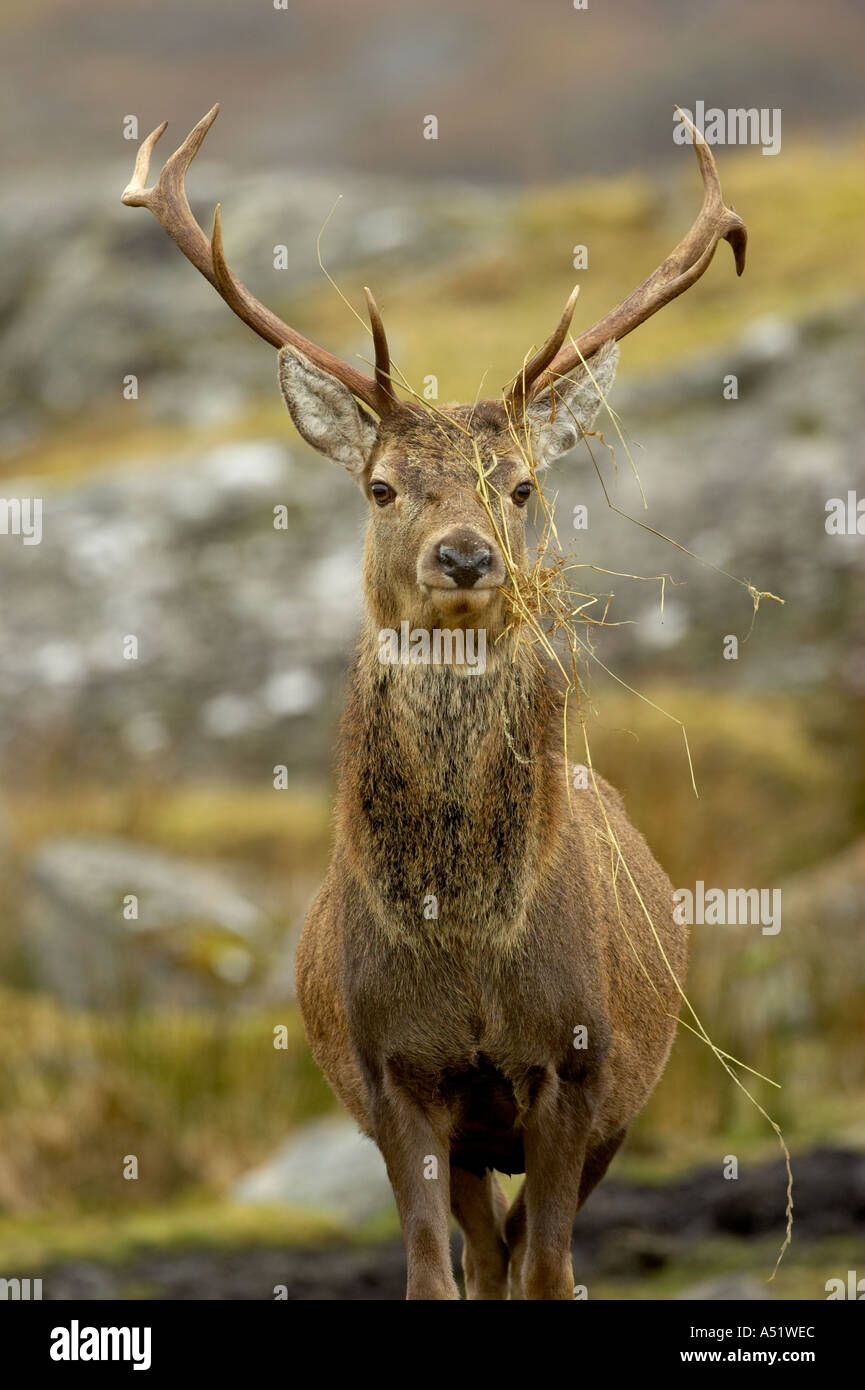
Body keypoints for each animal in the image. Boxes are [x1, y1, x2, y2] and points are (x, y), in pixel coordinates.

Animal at [122, 106, 746, 1300]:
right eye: (380, 488)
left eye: (523, 487)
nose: (464, 556)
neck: (463, 952)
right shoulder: (393, 1074)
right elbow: (432, 1272)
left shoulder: (576, 1066)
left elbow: (551, 1272)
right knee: (482, 1248)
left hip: (616, 1102)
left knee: (529, 1253)